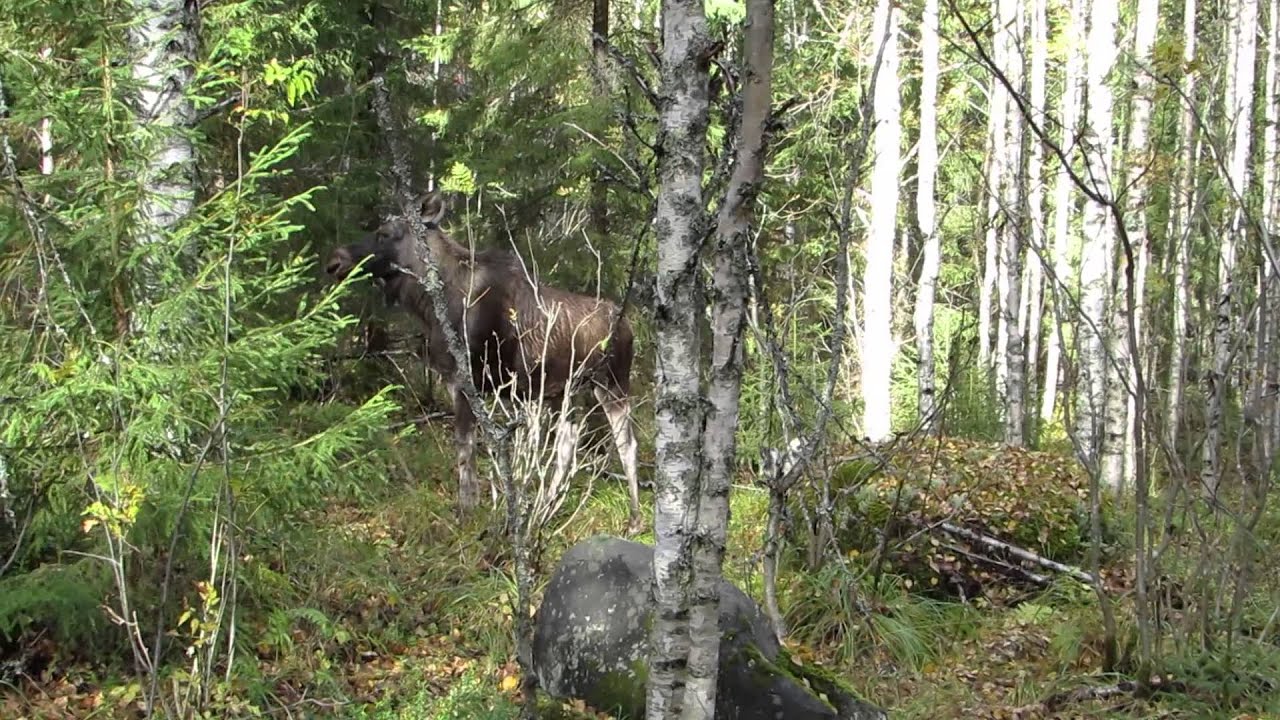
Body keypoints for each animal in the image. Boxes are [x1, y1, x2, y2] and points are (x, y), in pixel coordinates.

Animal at [324, 192, 644, 535]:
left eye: (384, 233)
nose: (335, 261)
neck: (431, 306)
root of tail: (628, 325)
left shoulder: (467, 379)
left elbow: (465, 447)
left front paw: (467, 511)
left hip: (612, 381)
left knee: (626, 443)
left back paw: (634, 520)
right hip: (563, 392)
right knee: (568, 444)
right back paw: (545, 509)